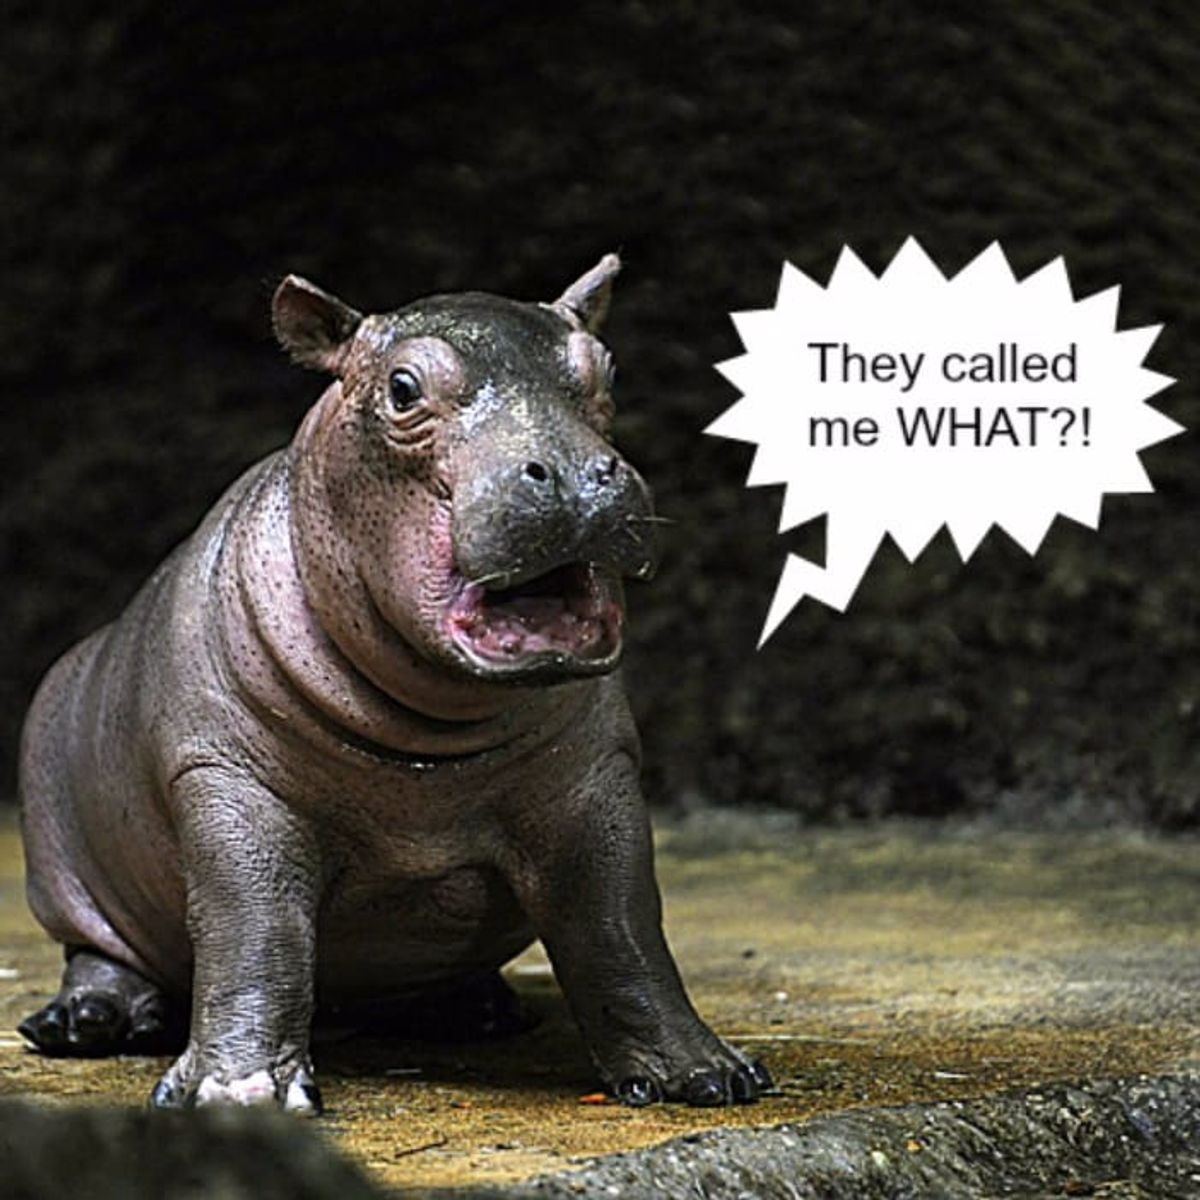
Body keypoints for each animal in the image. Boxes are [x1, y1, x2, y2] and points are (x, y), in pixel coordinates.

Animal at [17, 257, 770, 1113]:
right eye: (403, 389)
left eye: (605, 370)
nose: (580, 476)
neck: (431, 740)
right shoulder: (228, 783)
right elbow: (254, 929)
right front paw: (240, 1096)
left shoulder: (594, 779)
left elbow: (621, 924)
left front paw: (707, 1074)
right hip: (59, 858)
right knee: (98, 950)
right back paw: (85, 1023)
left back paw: (477, 1010)